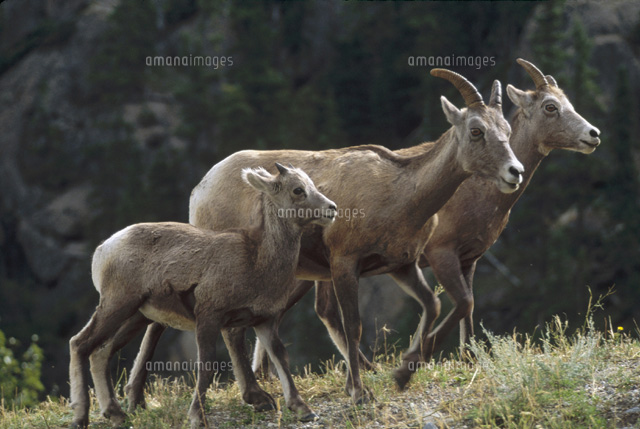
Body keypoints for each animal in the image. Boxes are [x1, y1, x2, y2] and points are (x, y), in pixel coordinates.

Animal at [68, 163, 336, 428]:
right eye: (298, 190)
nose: (332, 209)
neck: (258, 261)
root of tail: (103, 249)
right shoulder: (209, 316)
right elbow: (206, 365)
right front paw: (198, 417)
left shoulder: (264, 321)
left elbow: (281, 357)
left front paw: (304, 410)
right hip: (117, 305)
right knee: (80, 344)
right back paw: (81, 417)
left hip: (136, 316)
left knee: (100, 352)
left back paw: (117, 414)